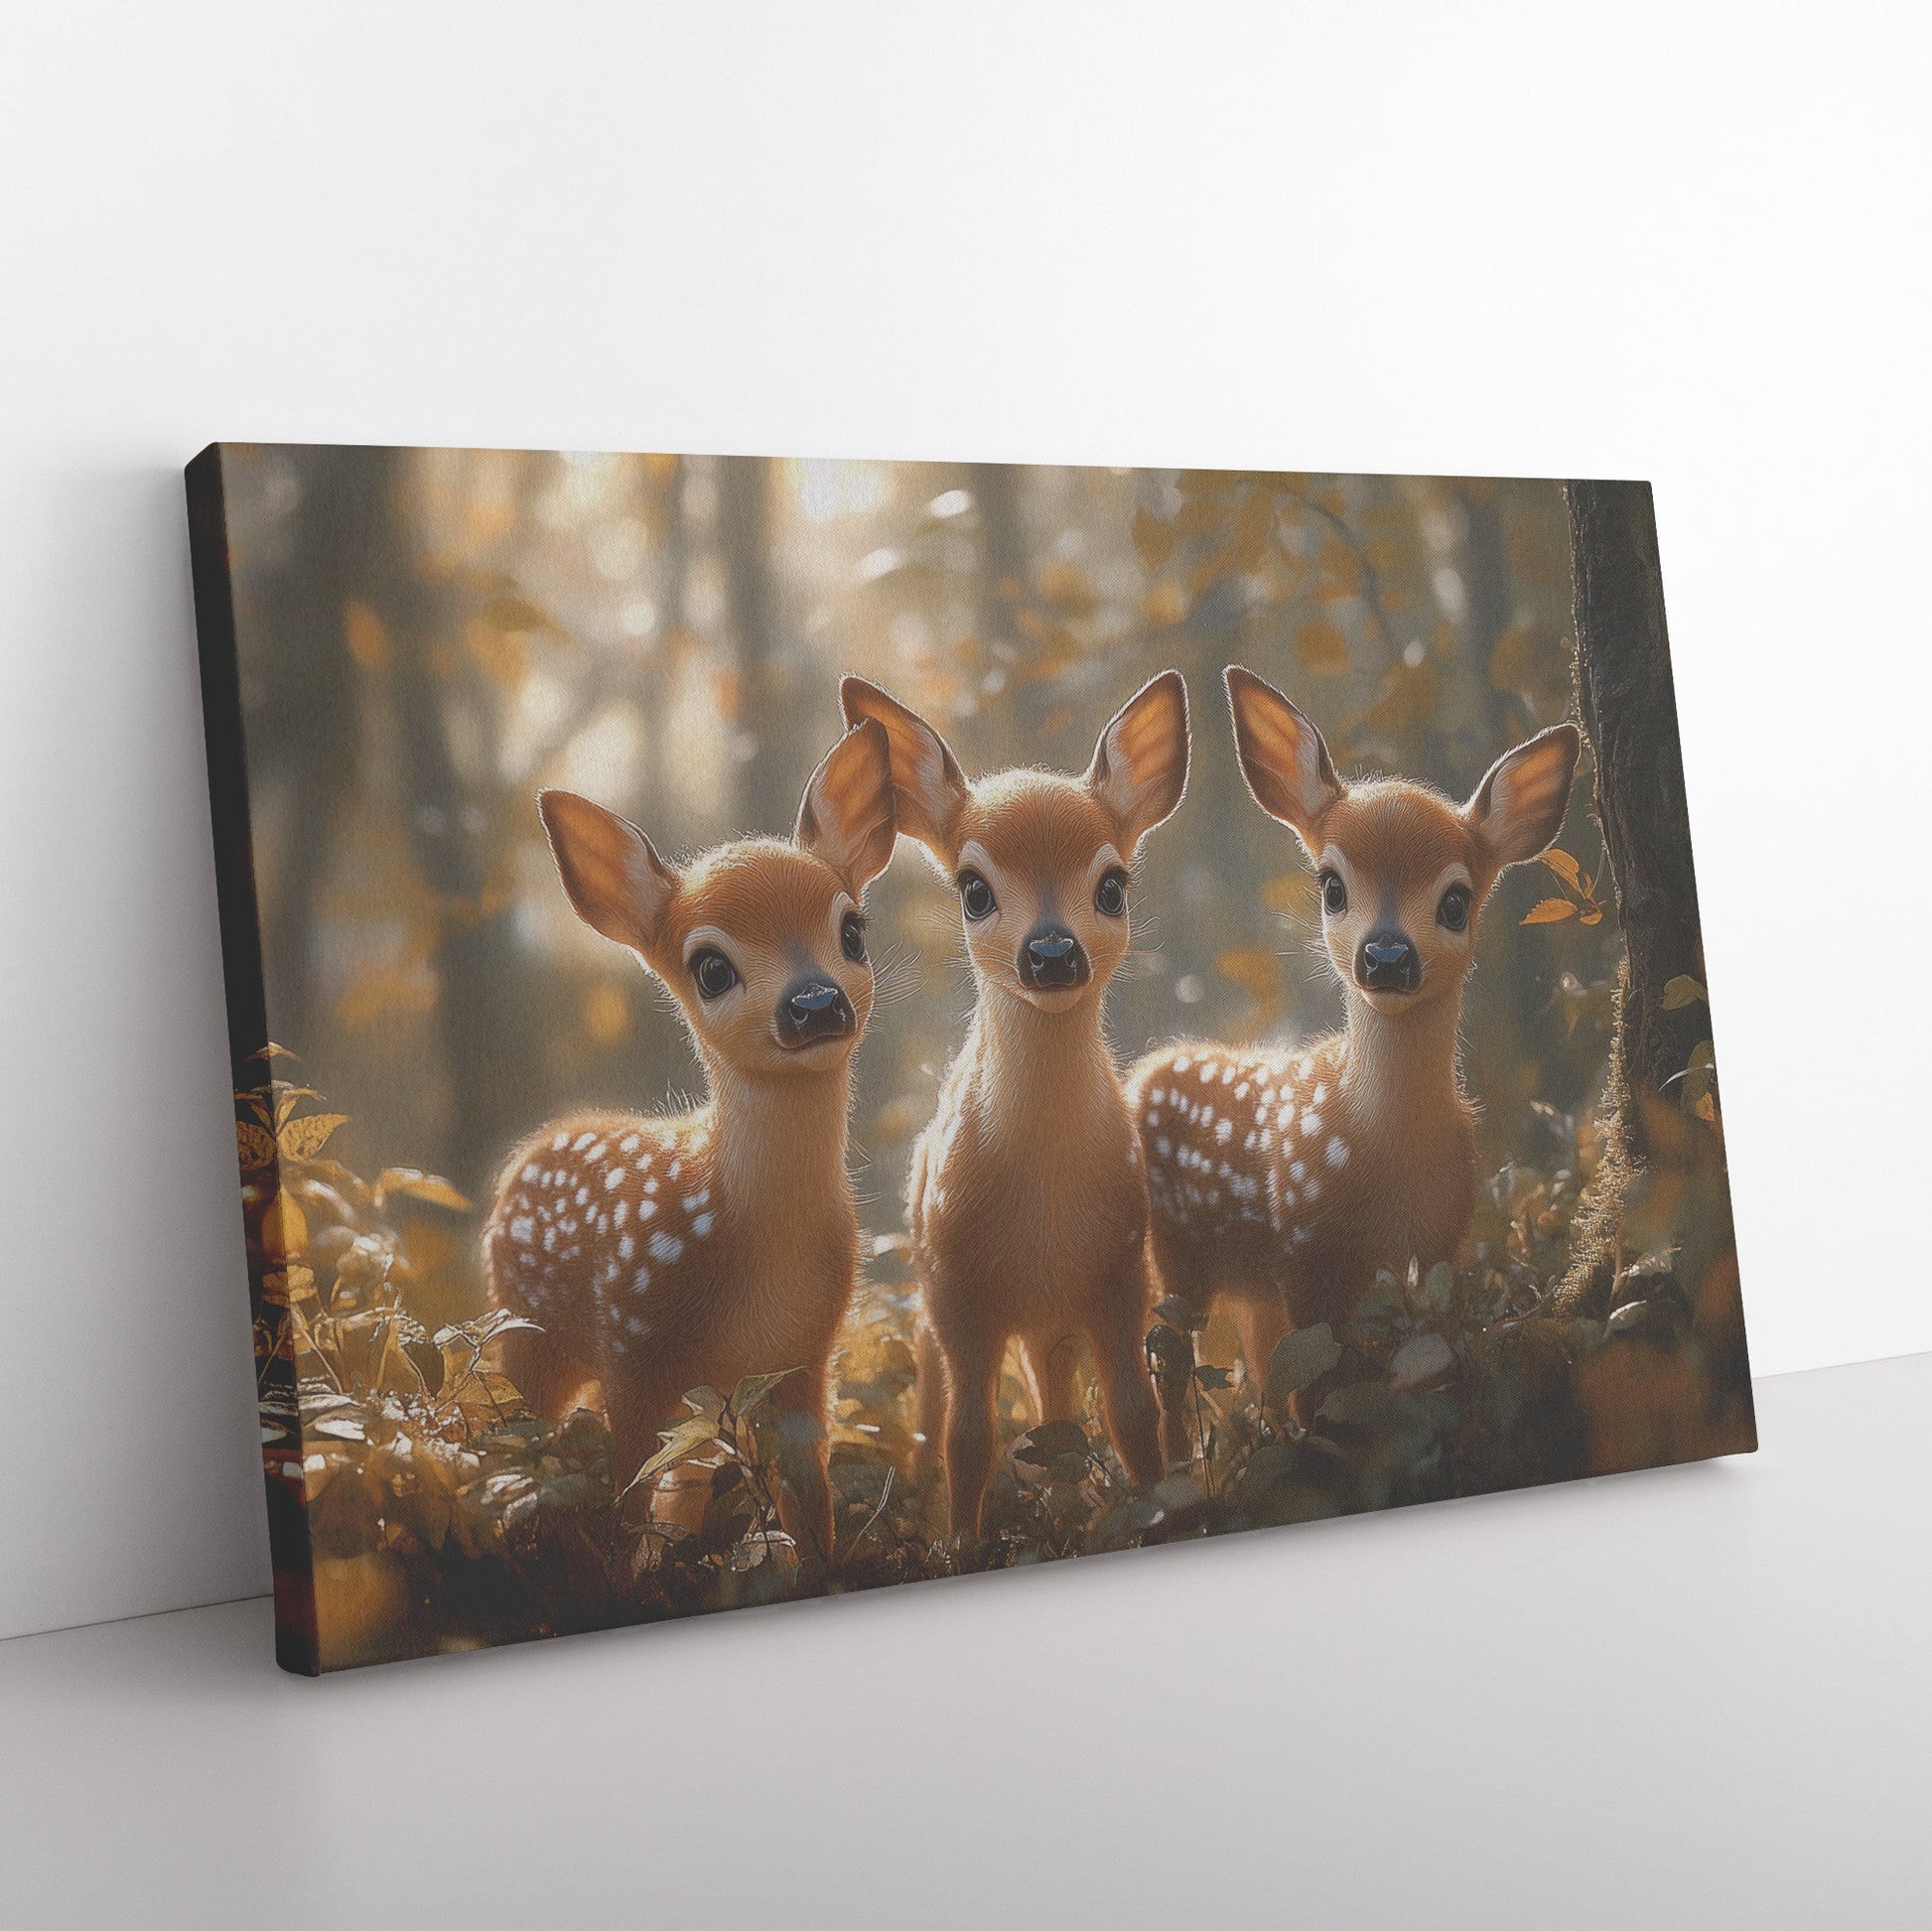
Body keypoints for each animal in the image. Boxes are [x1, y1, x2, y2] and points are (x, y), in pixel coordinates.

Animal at [480, 718, 898, 1570]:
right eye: (710, 967)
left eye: (851, 929)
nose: (815, 1002)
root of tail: (530, 1146)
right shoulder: (634, 1347)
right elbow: (626, 1501)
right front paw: (624, 1582)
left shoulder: (806, 1356)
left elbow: (809, 1502)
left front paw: (821, 1572)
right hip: (526, 1329)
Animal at [840, 670, 1190, 1546]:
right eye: (973, 888)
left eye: (1112, 883)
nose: (1052, 952)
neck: (1044, 1204)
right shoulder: (959, 1286)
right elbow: (968, 1436)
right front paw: (962, 1545)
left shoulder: (1119, 1270)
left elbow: (1134, 1415)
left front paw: (1164, 1511)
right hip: (929, 1296)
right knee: (932, 1417)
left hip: (1050, 1319)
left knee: (1055, 1404)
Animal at [1126, 665, 1581, 1454]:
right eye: (1332, 886)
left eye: (1456, 900)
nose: (1387, 955)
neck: (1385, 1152)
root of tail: (1141, 1072)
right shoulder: (1307, 1238)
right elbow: (1320, 1382)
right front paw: (1335, 1448)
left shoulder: (1441, 1237)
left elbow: (1423, 1358)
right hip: (1178, 1247)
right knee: (1174, 1364)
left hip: (1249, 1275)